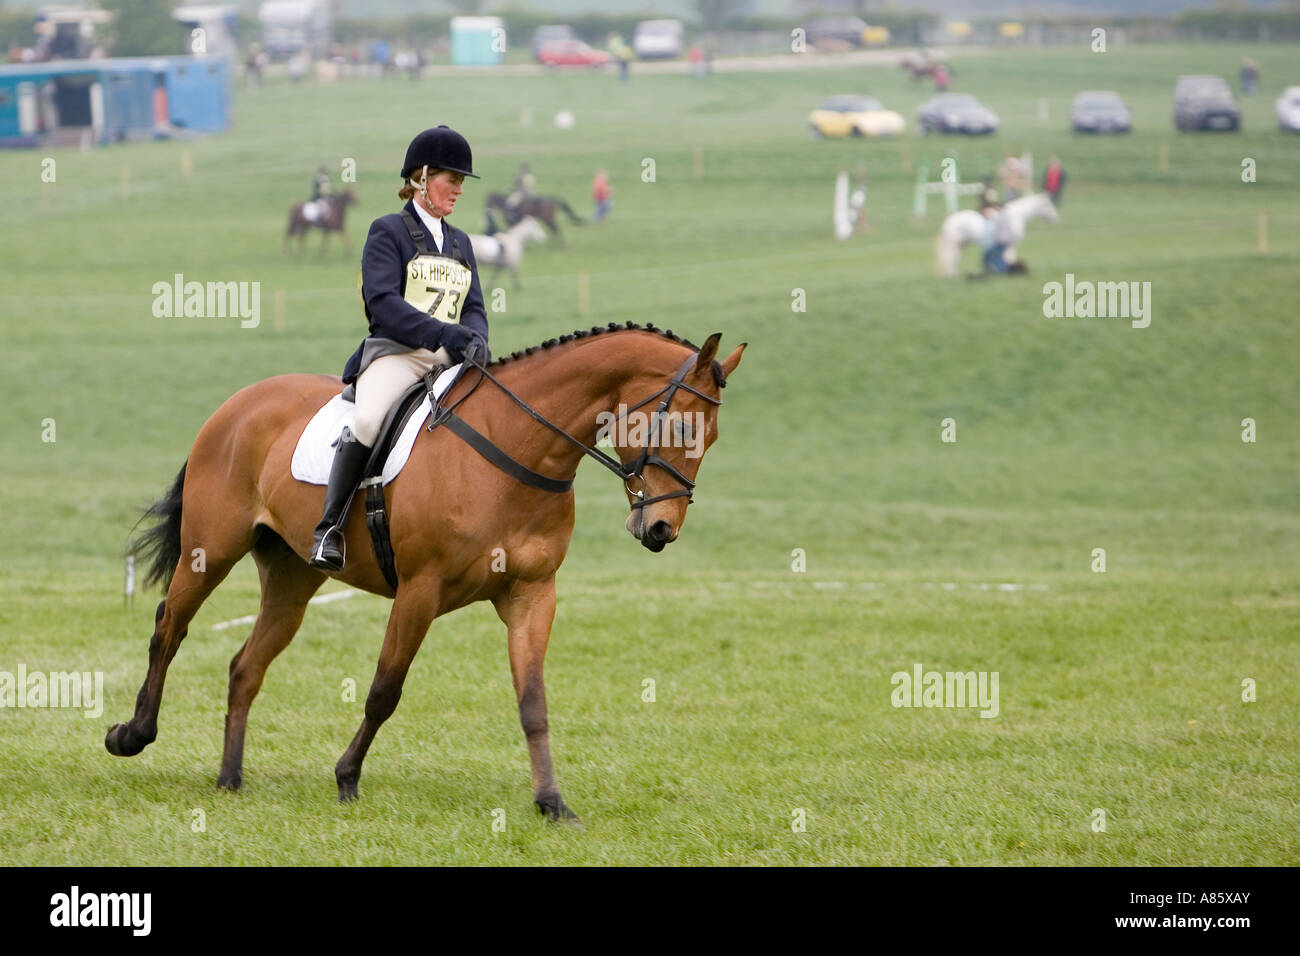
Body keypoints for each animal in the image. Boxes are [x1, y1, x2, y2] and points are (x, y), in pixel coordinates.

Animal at [106, 325, 746, 823]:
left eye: (712, 438)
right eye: (680, 429)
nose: (660, 529)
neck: (519, 450)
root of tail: (237, 403)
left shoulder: (532, 596)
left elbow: (533, 702)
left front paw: (551, 802)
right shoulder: (420, 592)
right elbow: (384, 691)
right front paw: (347, 778)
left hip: (293, 579)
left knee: (245, 666)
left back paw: (230, 778)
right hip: (210, 550)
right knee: (169, 629)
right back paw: (132, 735)